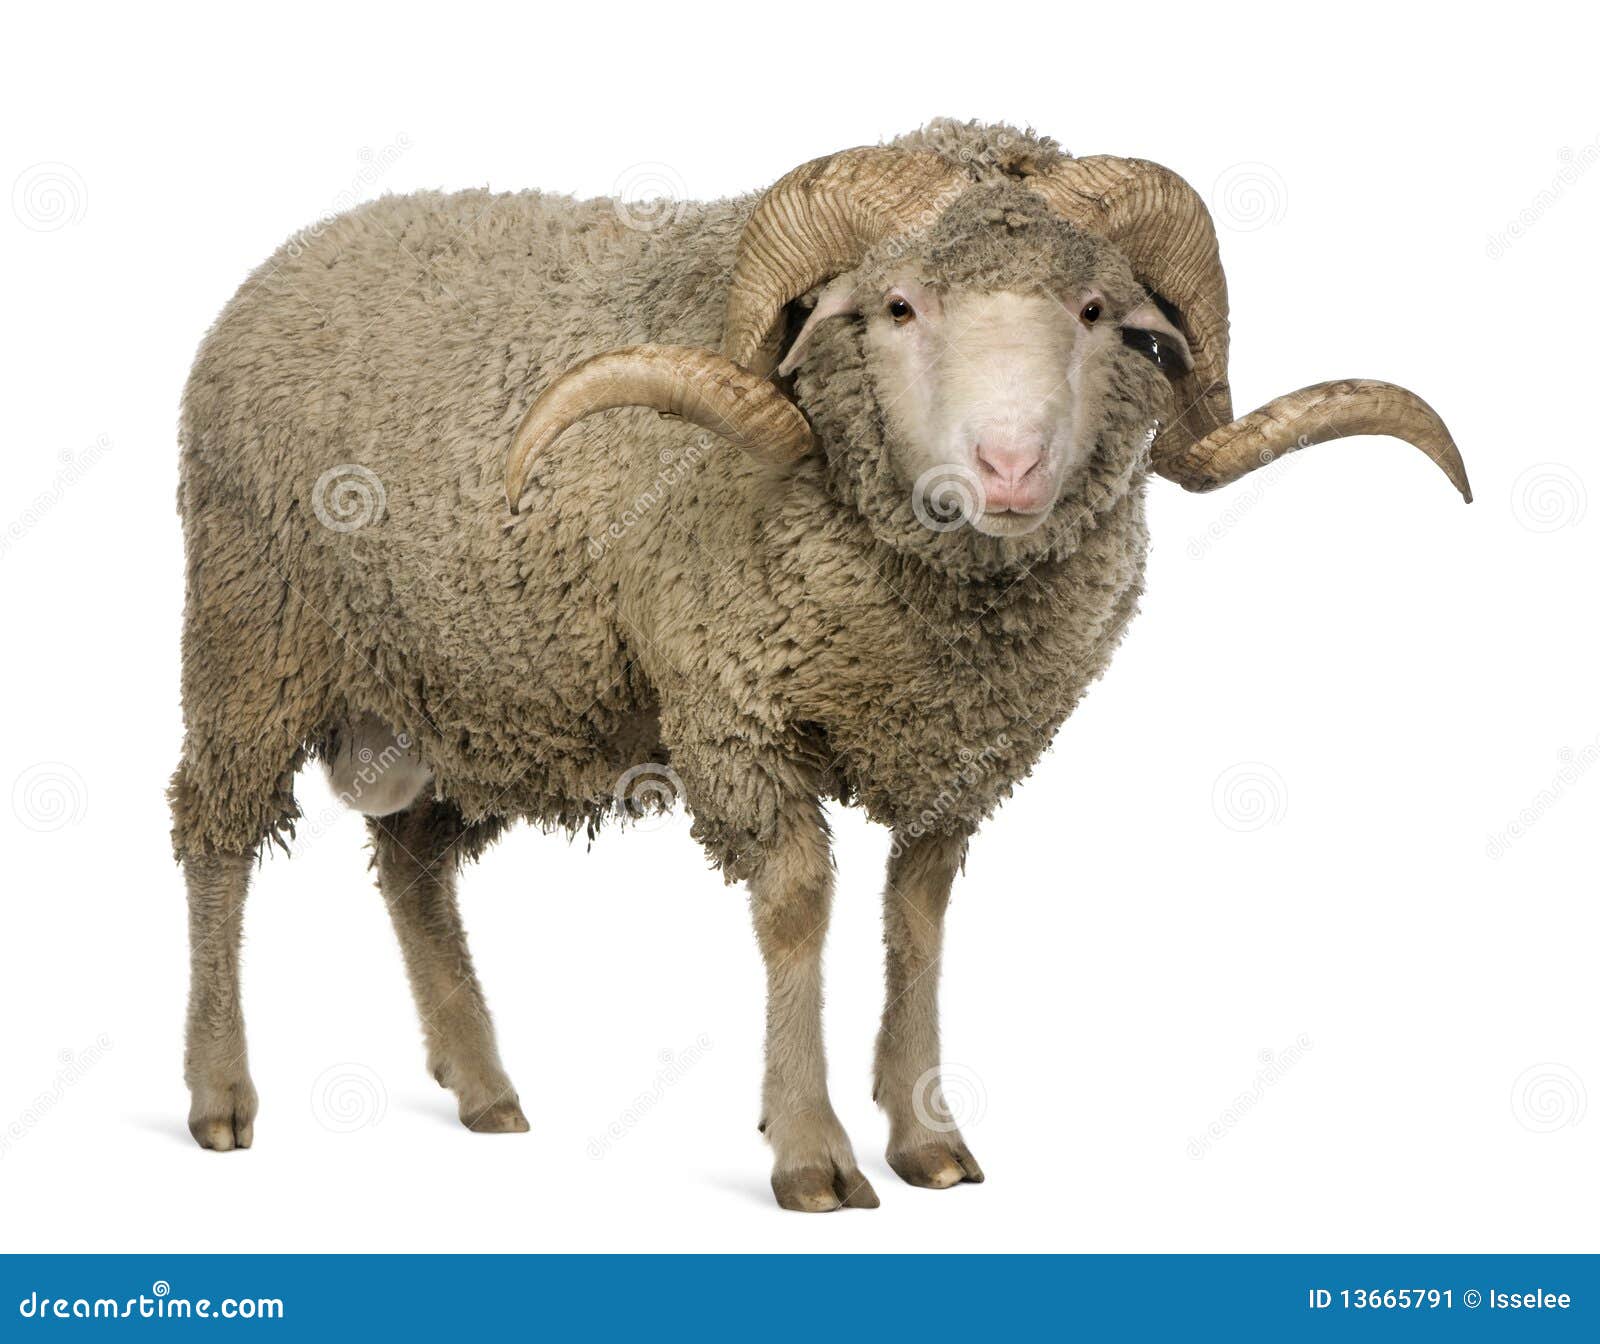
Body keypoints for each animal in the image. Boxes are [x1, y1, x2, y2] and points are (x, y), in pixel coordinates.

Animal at [172, 118, 1469, 1211]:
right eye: (897, 307)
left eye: (1097, 309)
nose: (1009, 469)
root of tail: (294, 255)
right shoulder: (731, 706)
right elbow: (799, 903)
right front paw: (811, 1153)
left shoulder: (962, 748)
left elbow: (921, 913)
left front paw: (927, 1136)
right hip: (252, 638)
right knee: (216, 837)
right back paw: (221, 1095)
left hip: (472, 691)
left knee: (411, 863)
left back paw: (483, 1086)